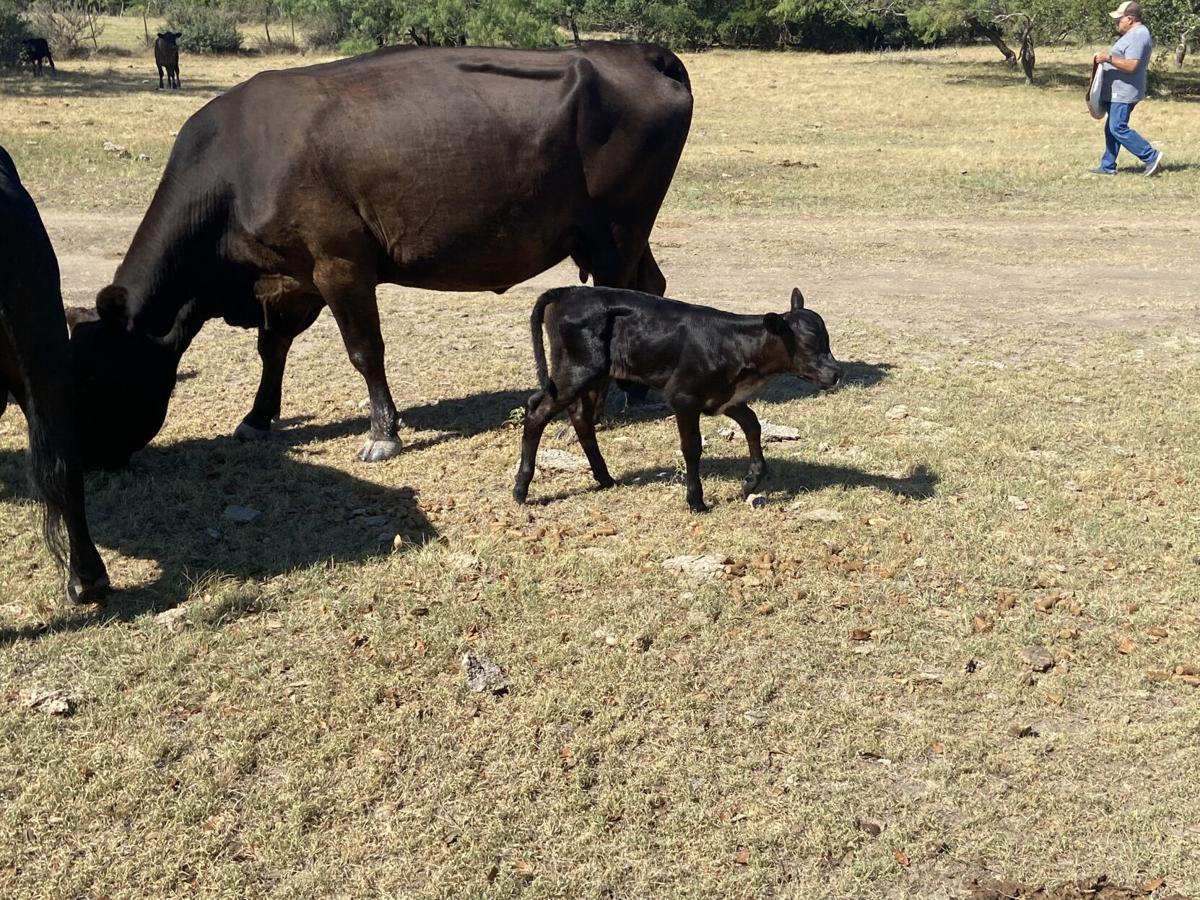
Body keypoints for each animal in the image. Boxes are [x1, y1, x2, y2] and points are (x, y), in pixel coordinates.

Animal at [72, 42, 693, 468]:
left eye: (99, 379)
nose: (93, 460)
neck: (236, 165)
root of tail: (639, 52)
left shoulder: (340, 265)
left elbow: (364, 351)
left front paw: (382, 433)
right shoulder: (288, 276)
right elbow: (272, 348)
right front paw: (256, 418)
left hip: (614, 233)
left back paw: (589, 414)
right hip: (622, 233)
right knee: (652, 286)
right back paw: (635, 392)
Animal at [513, 286, 842, 512]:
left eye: (827, 341)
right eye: (810, 345)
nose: (837, 372)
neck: (736, 344)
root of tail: (569, 291)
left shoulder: (726, 398)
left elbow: (753, 426)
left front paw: (751, 480)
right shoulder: (684, 396)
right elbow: (692, 447)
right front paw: (696, 501)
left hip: (593, 375)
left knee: (580, 417)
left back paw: (605, 478)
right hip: (577, 372)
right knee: (537, 411)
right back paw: (521, 489)